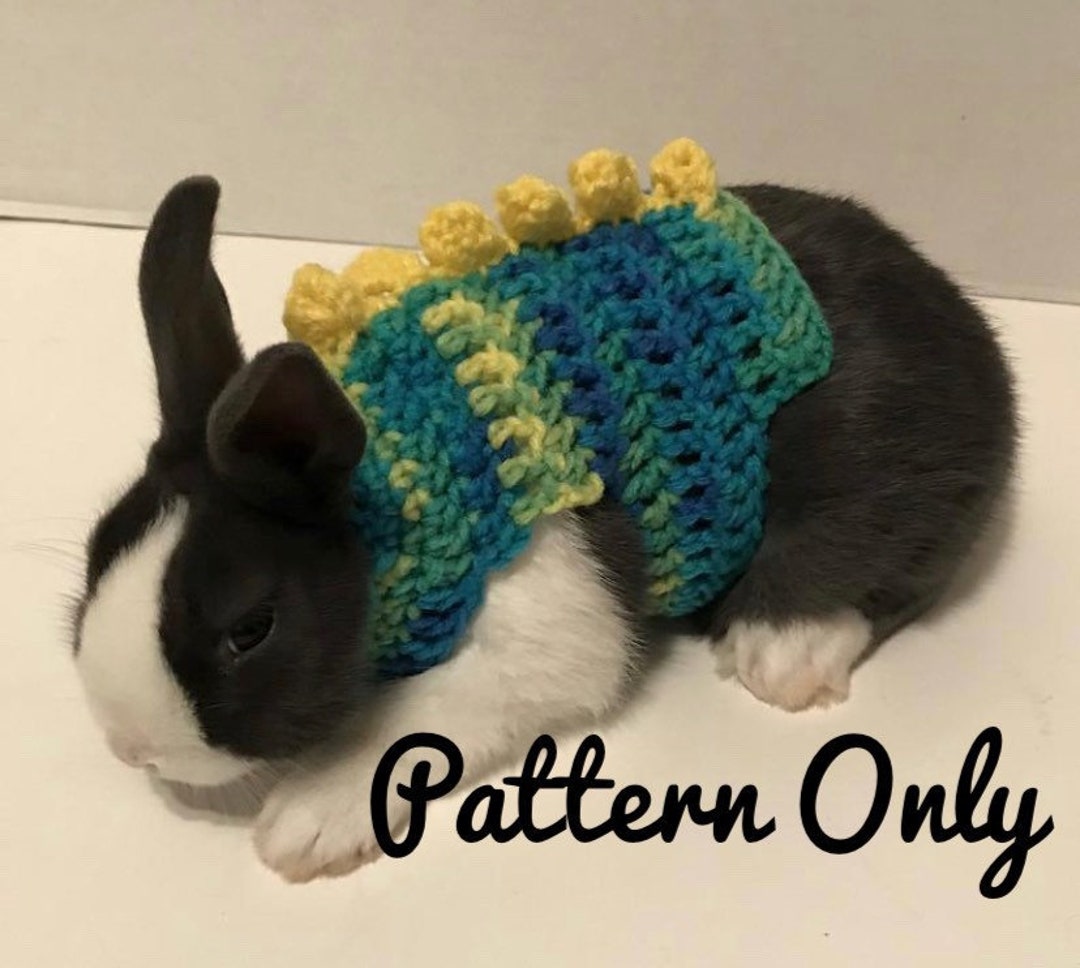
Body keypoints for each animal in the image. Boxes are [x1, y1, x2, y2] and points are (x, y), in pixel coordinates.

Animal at [72, 174, 1017, 882]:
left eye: (251, 627)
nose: (128, 750)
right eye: (95, 555)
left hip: (882, 479)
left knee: (893, 572)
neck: (403, 494)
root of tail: (971, 330)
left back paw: (782, 648)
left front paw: (307, 817)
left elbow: (420, 715)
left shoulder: (543, 617)